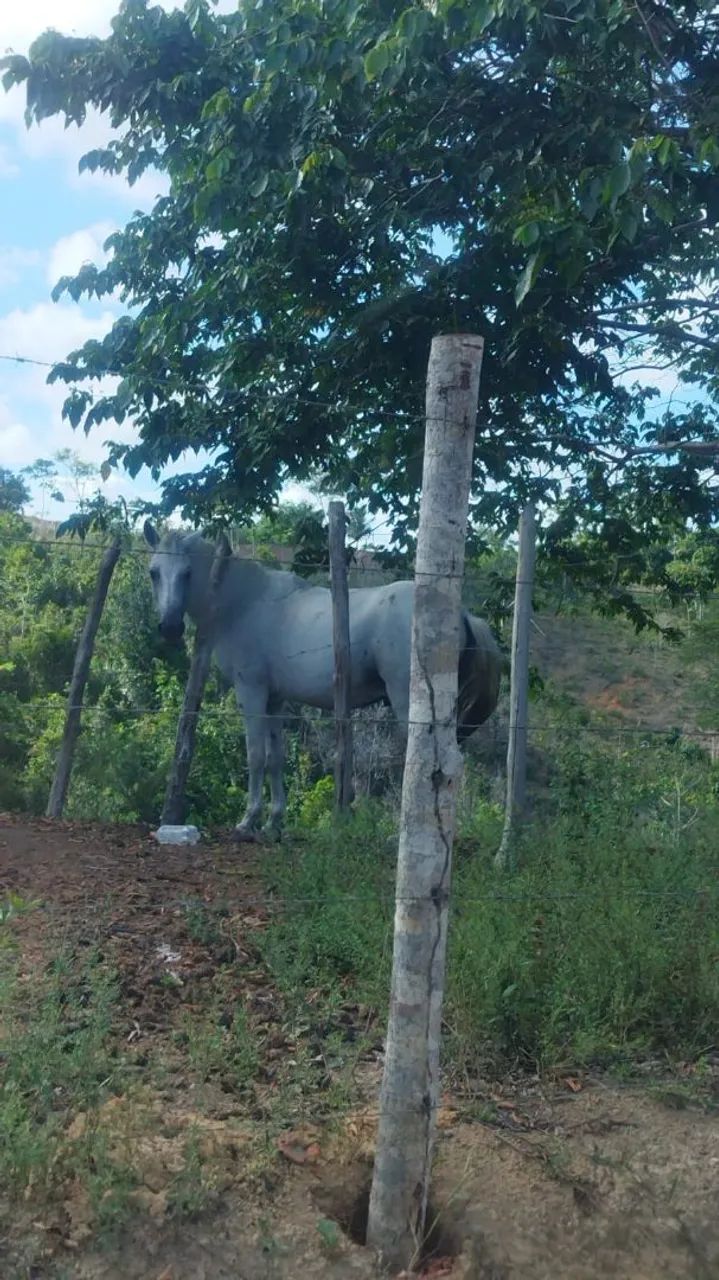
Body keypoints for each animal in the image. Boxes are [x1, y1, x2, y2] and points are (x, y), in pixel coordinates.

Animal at [143, 522, 502, 839]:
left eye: (187, 572)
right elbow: (275, 758)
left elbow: (255, 755)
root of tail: (461, 614)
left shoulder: (252, 692)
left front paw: (248, 821)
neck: (243, 602)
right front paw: (274, 822)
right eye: (154, 572)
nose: (170, 627)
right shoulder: (275, 700)